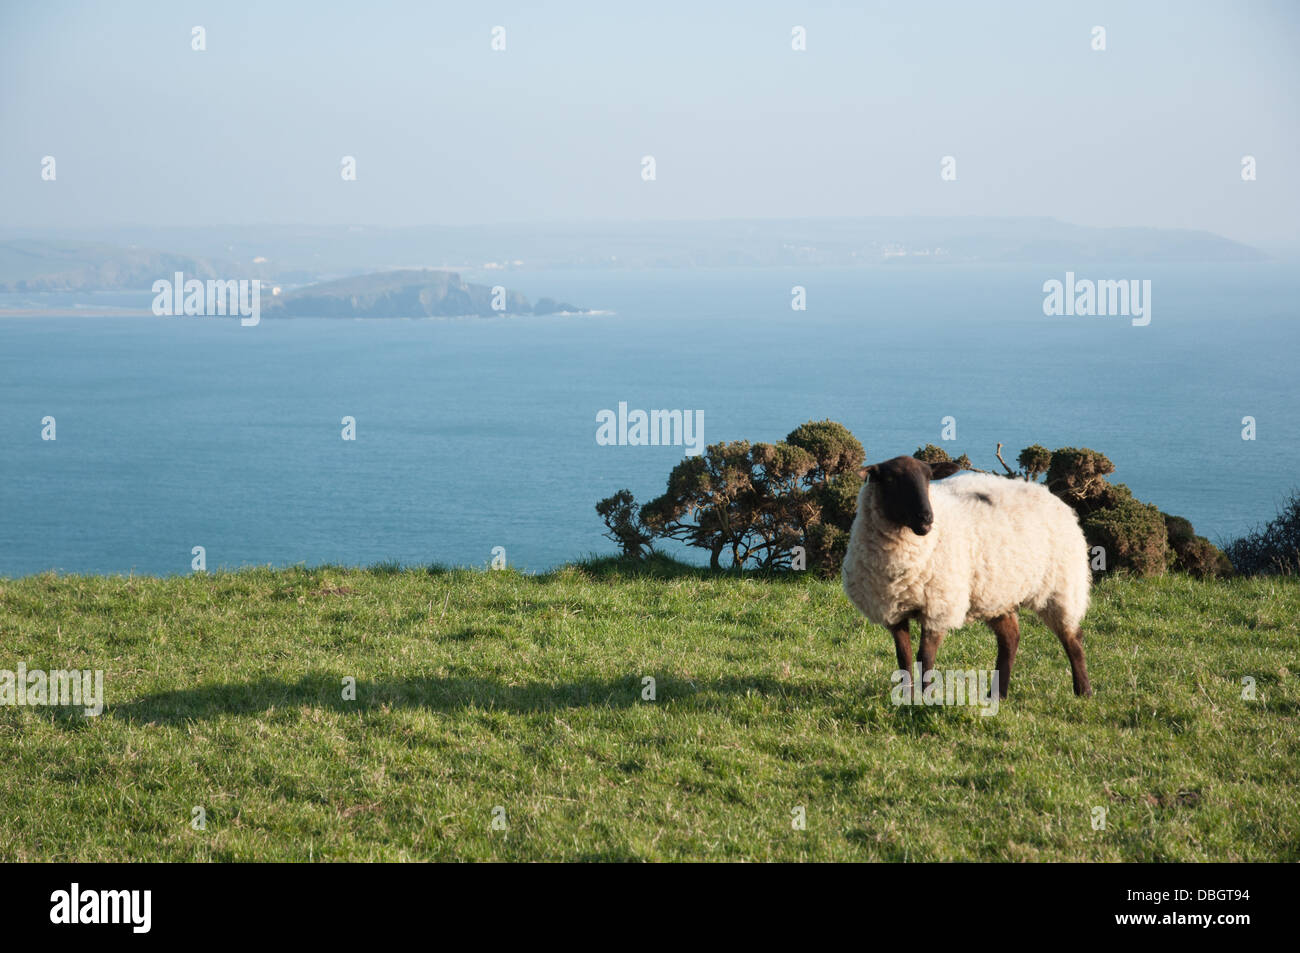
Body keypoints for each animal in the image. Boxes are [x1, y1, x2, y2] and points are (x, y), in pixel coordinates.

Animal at [841, 455, 1092, 699]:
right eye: (891, 479)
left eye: (928, 478)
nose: (926, 518)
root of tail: (1049, 495)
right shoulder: (894, 611)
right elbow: (904, 657)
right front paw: (906, 698)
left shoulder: (939, 607)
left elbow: (925, 657)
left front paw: (924, 698)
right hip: (997, 594)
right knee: (1010, 638)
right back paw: (998, 694)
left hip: (1061, 587)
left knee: (1073, 638)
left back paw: (1083, 691)